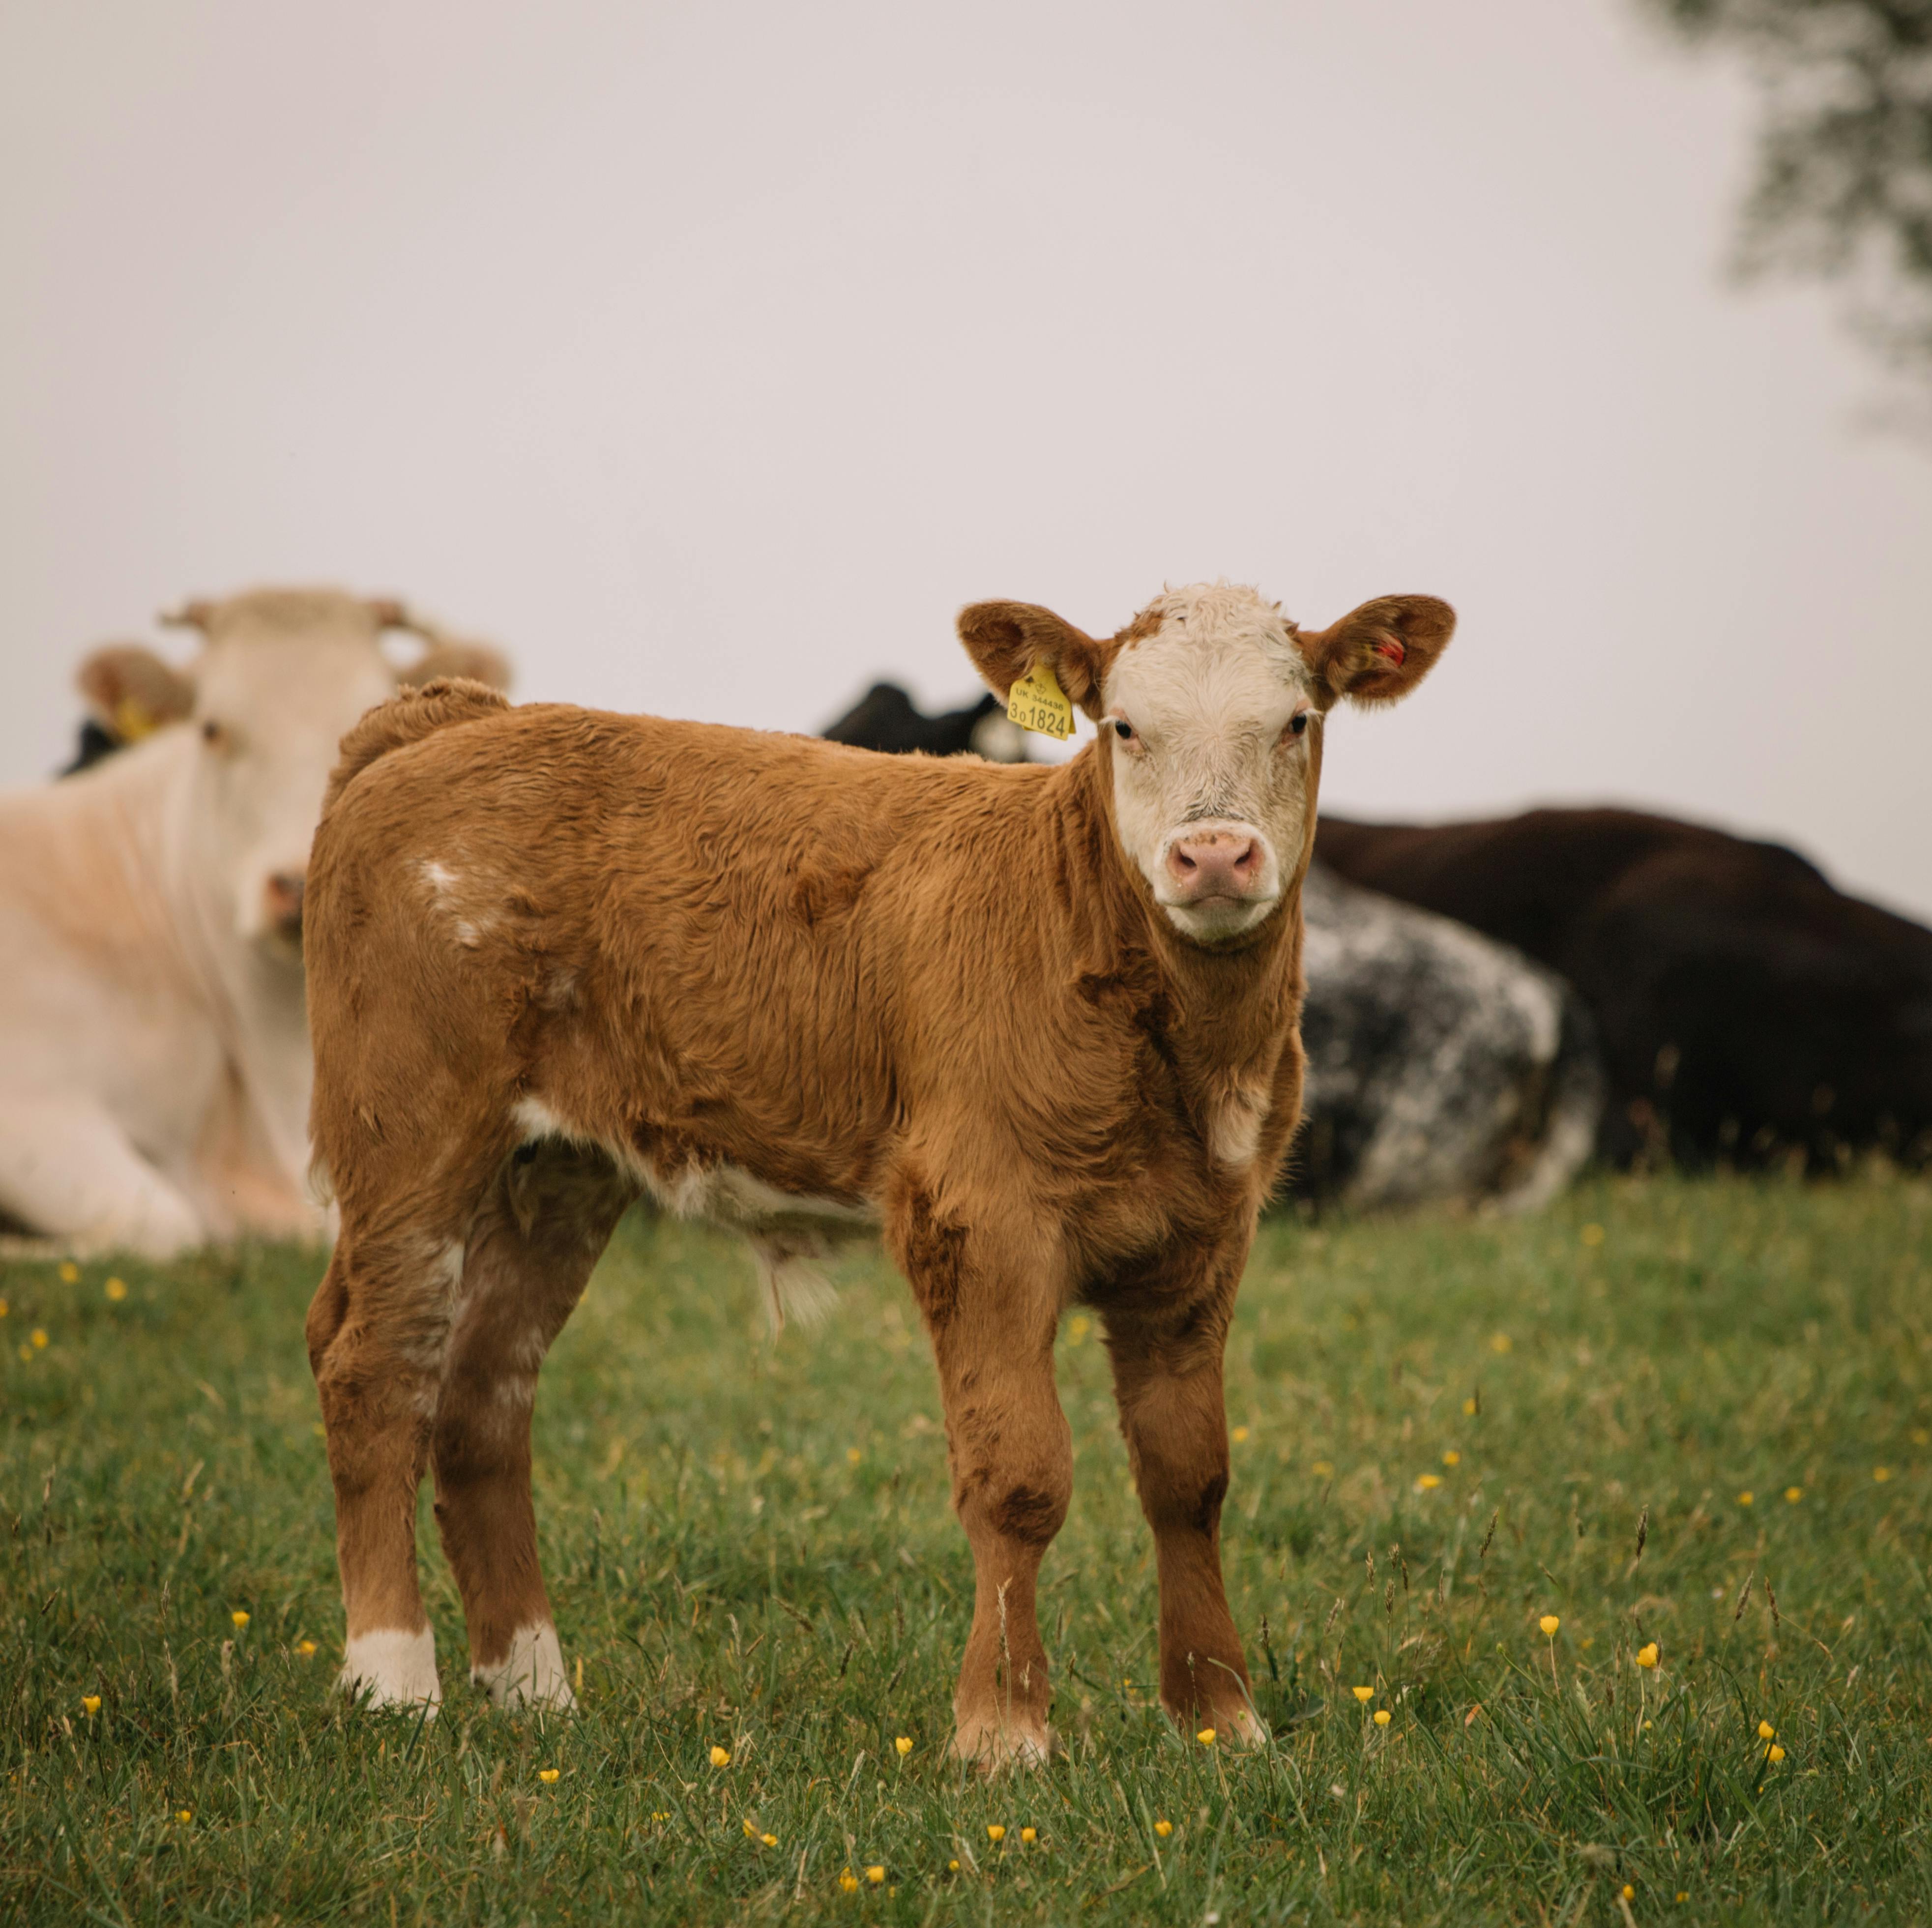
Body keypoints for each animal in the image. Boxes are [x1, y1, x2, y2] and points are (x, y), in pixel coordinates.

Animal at [302, 580, 1453, 1761]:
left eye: (1297, 720)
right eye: (1125, 727)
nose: (1215, 855)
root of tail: (452, 722)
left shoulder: (1207, 1236)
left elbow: (1189, 1475)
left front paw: (1220, 1716)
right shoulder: (980, 1216)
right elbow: (1019, 1474)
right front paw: (1002, 1729)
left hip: (558, 1168)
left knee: (484, 1395)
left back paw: (532, 1684)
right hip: (410, 1125)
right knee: (375, 1369)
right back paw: (393, 1677)